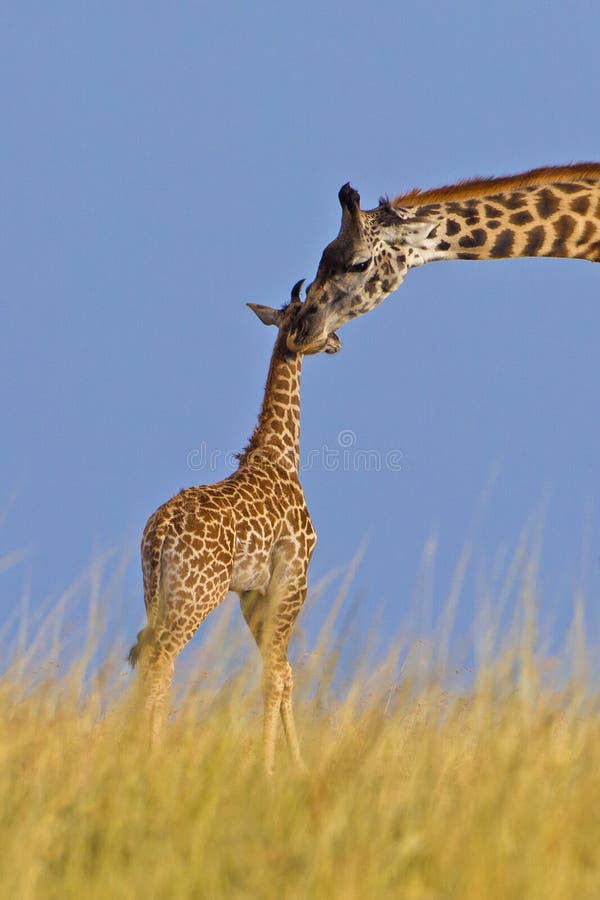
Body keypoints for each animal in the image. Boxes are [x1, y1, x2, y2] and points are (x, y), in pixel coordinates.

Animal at [128, 281, 341, 774]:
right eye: (317, 314)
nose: (338, 342)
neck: (280, 453)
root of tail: (159, 532)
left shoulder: (251, 592)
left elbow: (282, 672)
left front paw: (295, 763)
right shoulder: (292, 578)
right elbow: (276, 676)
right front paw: (271, 768)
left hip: (155, 591)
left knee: (145, 653)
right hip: (196, 594)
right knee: (161, 659)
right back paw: (153, 756)